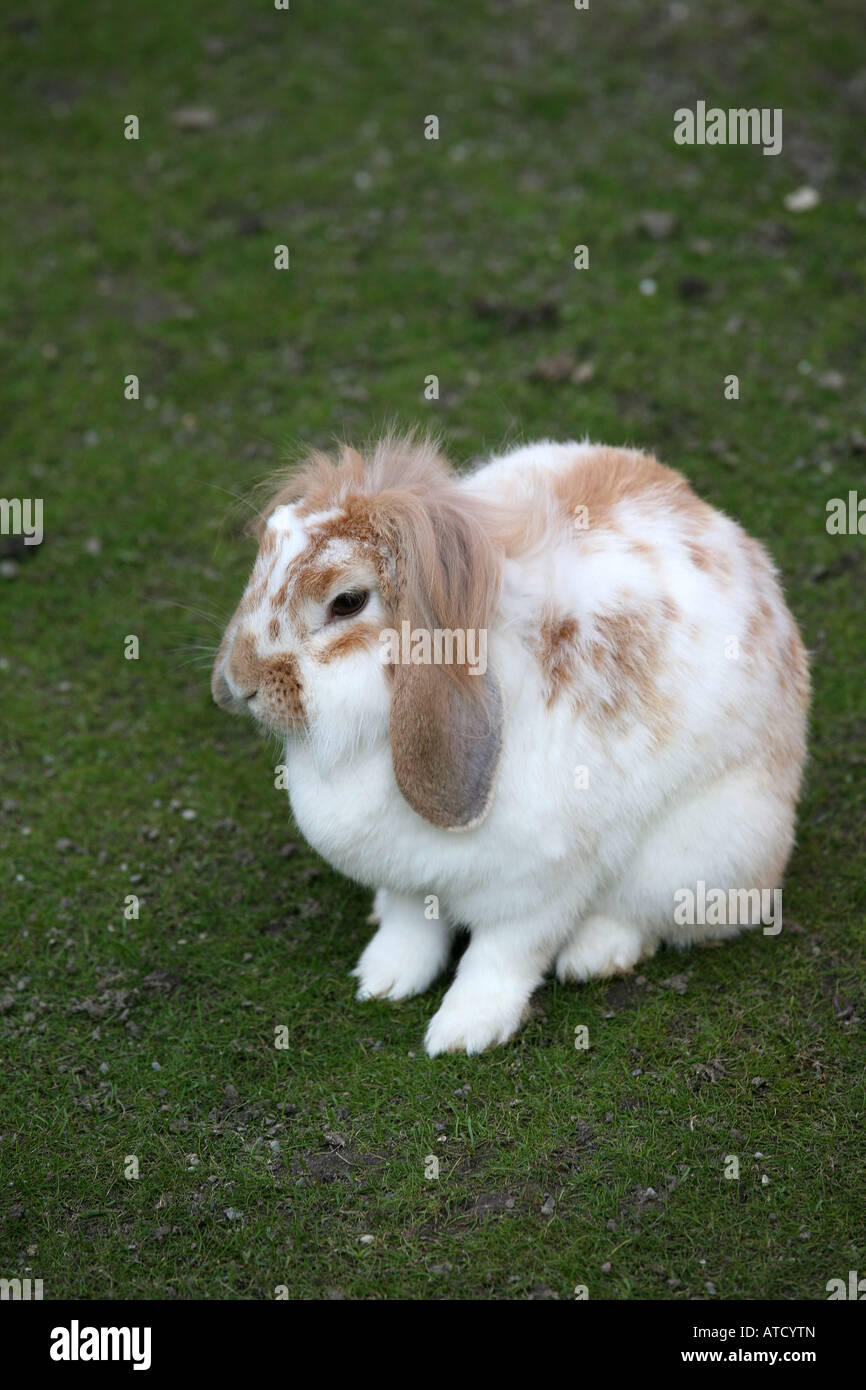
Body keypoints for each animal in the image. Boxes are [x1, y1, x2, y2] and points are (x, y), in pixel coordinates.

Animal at [212, 432, 810, 1055]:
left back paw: (594, 955)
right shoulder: (406, 881)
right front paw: (384, 980)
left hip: (697, 858)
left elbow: (499, 960)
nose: (240, 682)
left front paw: (463, 1031)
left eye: (348, 601)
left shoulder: (534, 891)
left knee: (641, 915)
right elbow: (408, 928)